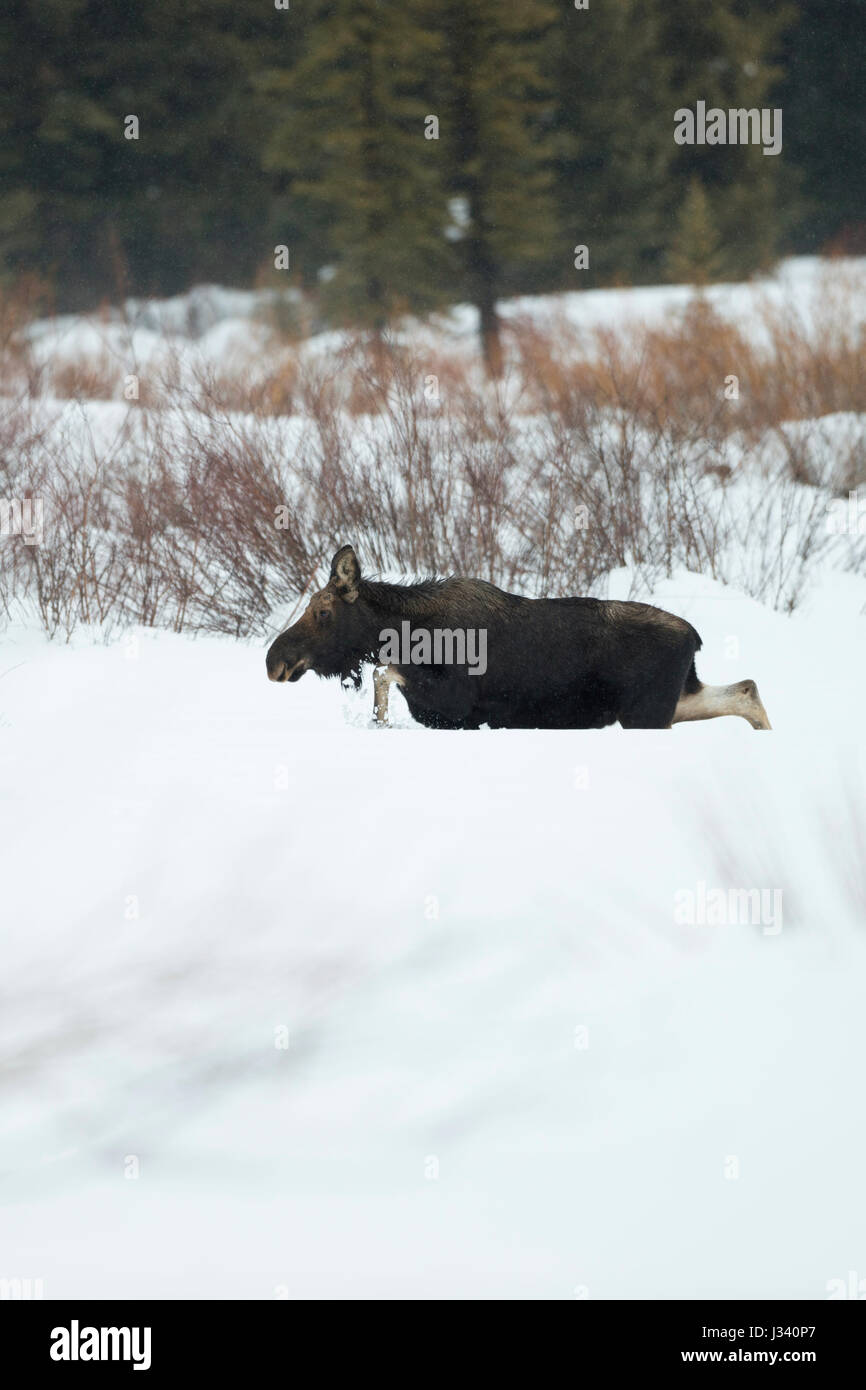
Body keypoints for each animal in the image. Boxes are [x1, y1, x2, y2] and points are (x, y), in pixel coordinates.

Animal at [266, 545, 772, 730]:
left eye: (323, 611)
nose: (274, 660)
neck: (407, 630)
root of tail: (695, 638)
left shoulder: (454, 704)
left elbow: (381, 671)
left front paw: (380, 720)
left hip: (645, 715)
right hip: (660, 706)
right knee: (744, 688)